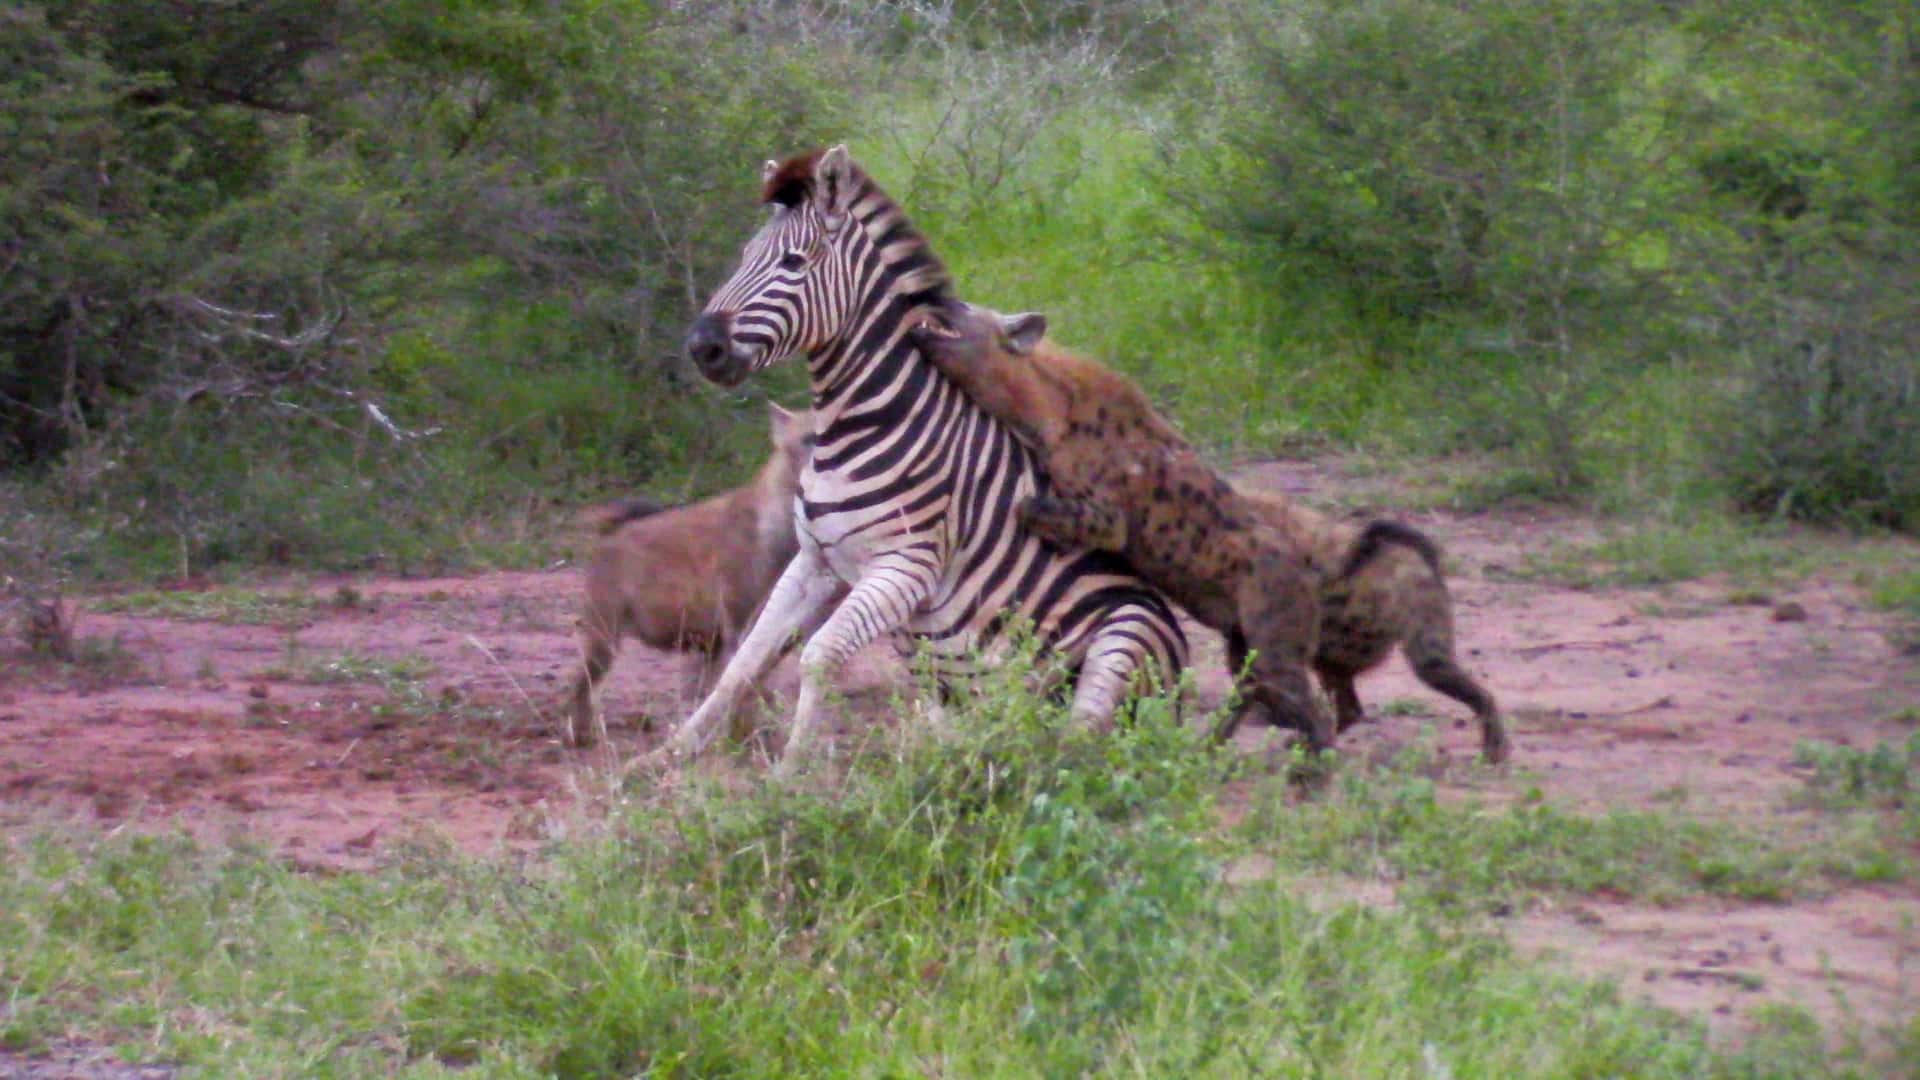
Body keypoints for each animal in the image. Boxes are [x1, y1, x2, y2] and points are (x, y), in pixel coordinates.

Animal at [656, 145, 1187, 777]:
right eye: (743, 258)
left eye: (792, 262)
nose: (703, 348)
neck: (861, 421)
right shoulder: (815, 560)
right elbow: (747, 660)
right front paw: (667, 755)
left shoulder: (905, 567)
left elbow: (818, 657)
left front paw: (789, 774)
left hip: (1122, 639)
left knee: (1081, 744)